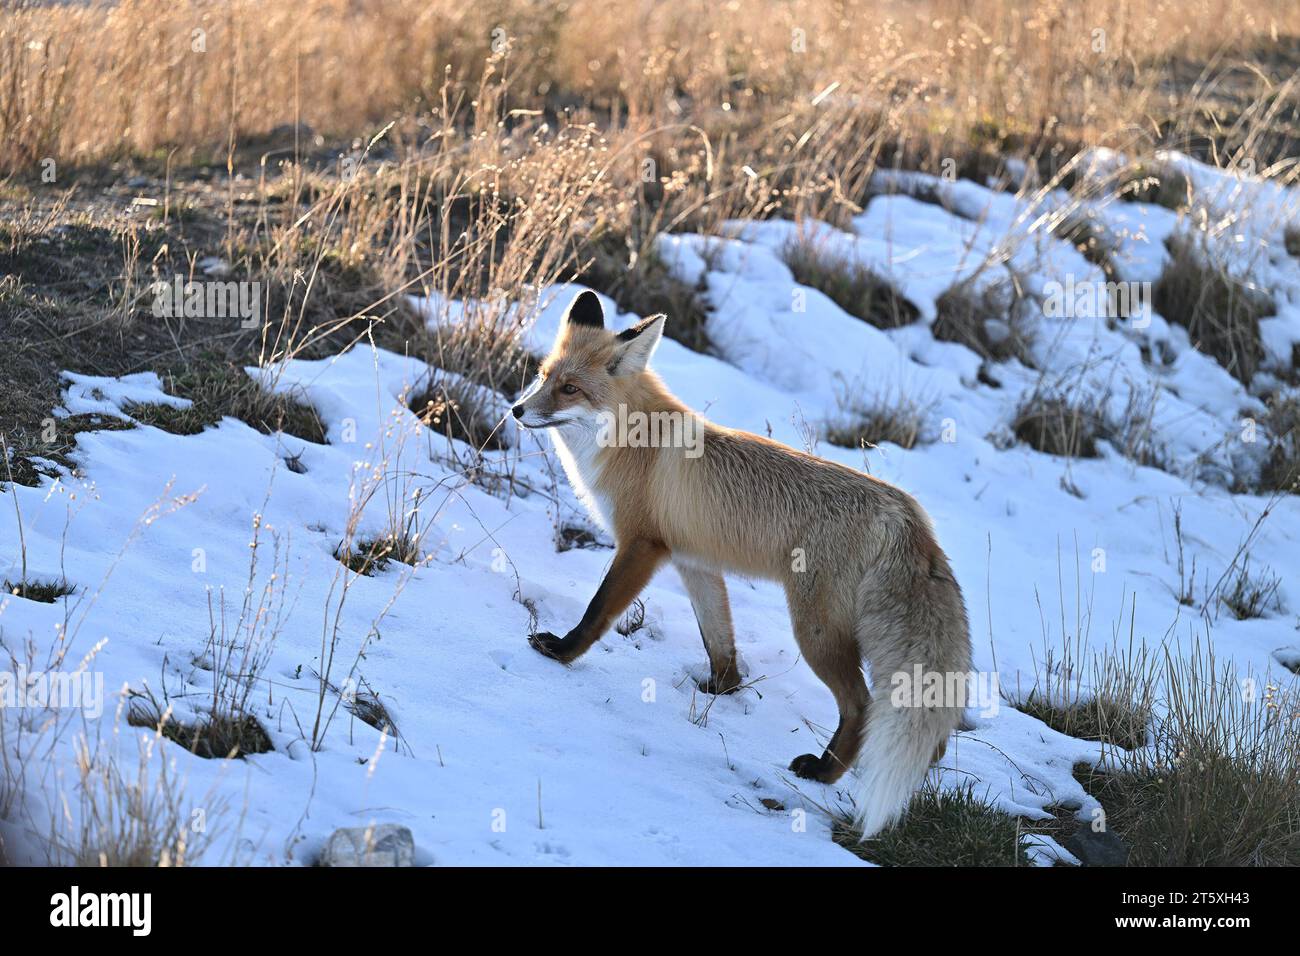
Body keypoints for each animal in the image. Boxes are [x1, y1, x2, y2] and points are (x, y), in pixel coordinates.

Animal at [511, 290, 972, 838]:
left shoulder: (641, 545)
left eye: (570, 389)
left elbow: (596, 612)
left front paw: (561, 652)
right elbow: (720, 640)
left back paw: (823, 772)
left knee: (860, 705)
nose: (516, 410)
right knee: (931, 737)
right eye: (543, 375)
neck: (634, 442)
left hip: (815, 630)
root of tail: (907, 512)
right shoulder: (693, 561)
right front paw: (722, 690)